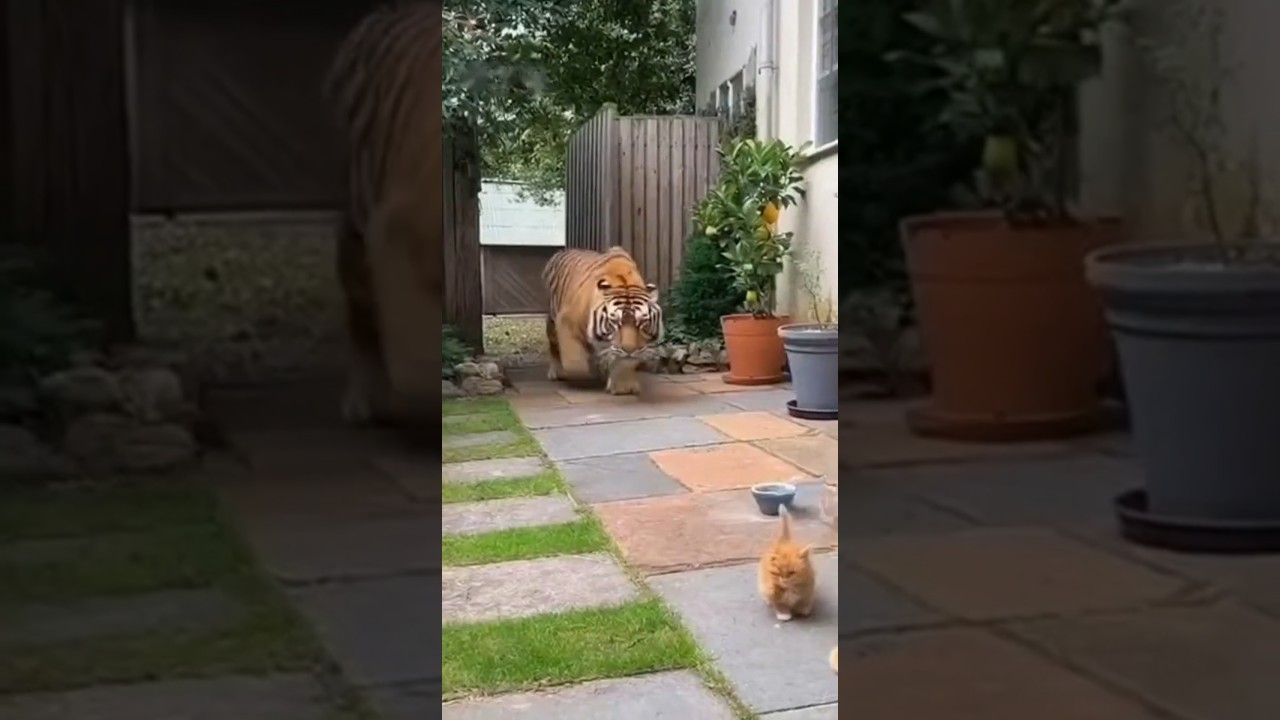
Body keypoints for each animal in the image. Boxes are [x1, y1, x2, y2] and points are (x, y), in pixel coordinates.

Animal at [542, 246, 663, 395]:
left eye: (641, 321)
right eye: (615, 321)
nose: (629, 349)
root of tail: (561, 251)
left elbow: (623, 361)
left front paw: (623, 386)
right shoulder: (566, 321)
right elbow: (574, 359)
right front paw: (581, 372)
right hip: (552, 322)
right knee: (554, 347)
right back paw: (557, 372)